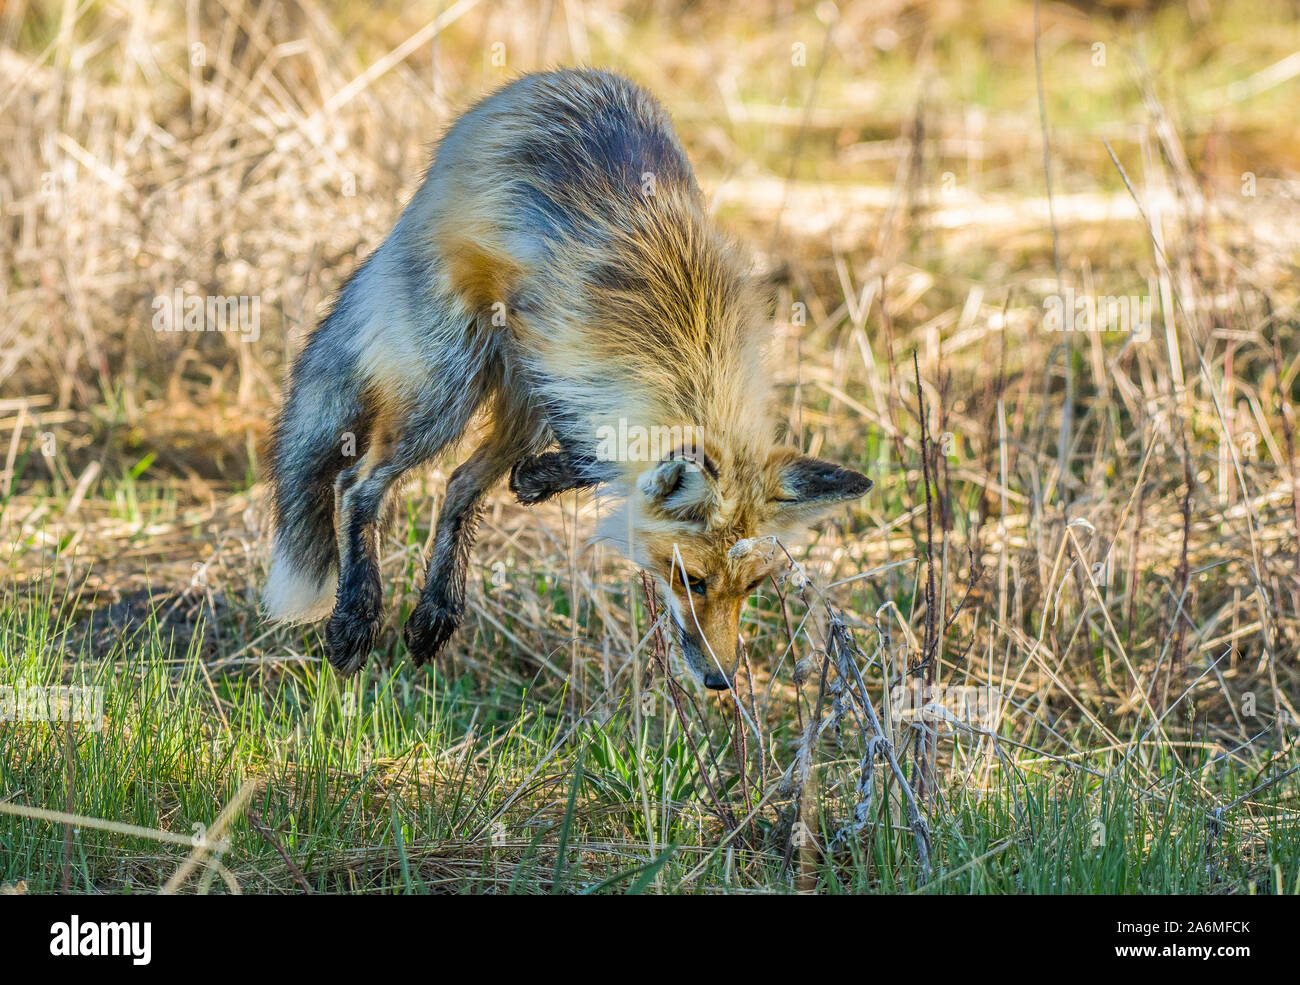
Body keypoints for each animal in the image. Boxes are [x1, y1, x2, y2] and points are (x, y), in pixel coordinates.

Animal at [262, 68, 872, 690]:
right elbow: (594, 451)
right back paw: (357, 615)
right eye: (691, 580)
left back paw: (437, 611)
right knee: (357, 483)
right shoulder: (549, 351)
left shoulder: (570, 385)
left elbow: (590, 458)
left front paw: (539, 480)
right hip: (449, 385)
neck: (689, 338)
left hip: (506, 402)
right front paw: (550, 476)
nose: (722, 680)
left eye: (751, 586)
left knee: (459, 484)